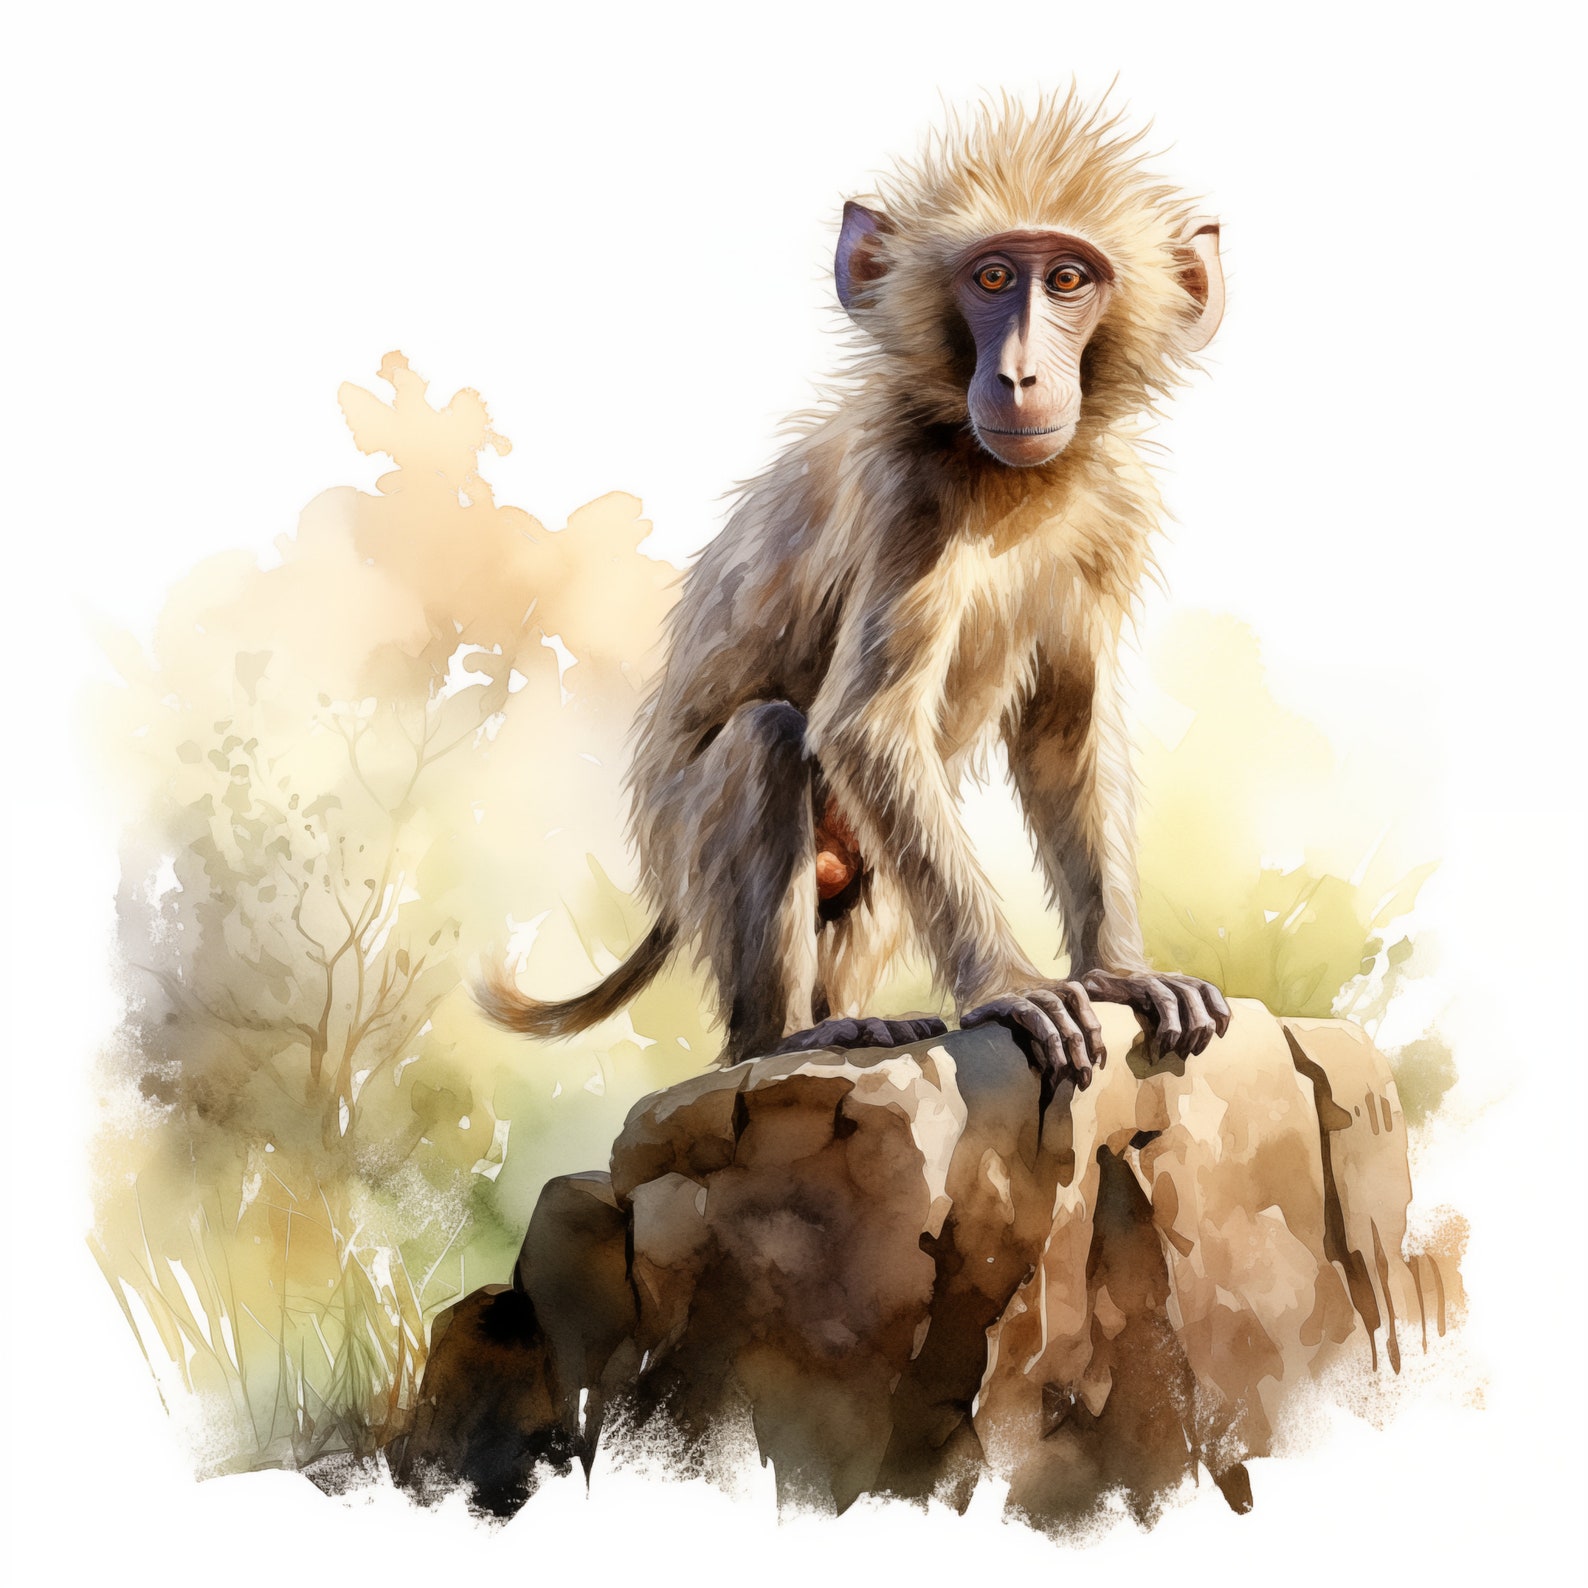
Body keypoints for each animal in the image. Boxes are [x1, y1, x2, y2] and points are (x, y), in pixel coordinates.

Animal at [479, 93, 1233, 1098]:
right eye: (994, 277)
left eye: (1070, 279)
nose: (1021, 375)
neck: (1005, 480)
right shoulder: (908, 502)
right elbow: (865, 728)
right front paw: (1014, 987)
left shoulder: (1107, 513)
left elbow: (1062, 732)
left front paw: (1118, 972)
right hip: (681, 843)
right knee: (768, 742)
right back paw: (785, 1038)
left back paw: (851, 1019)